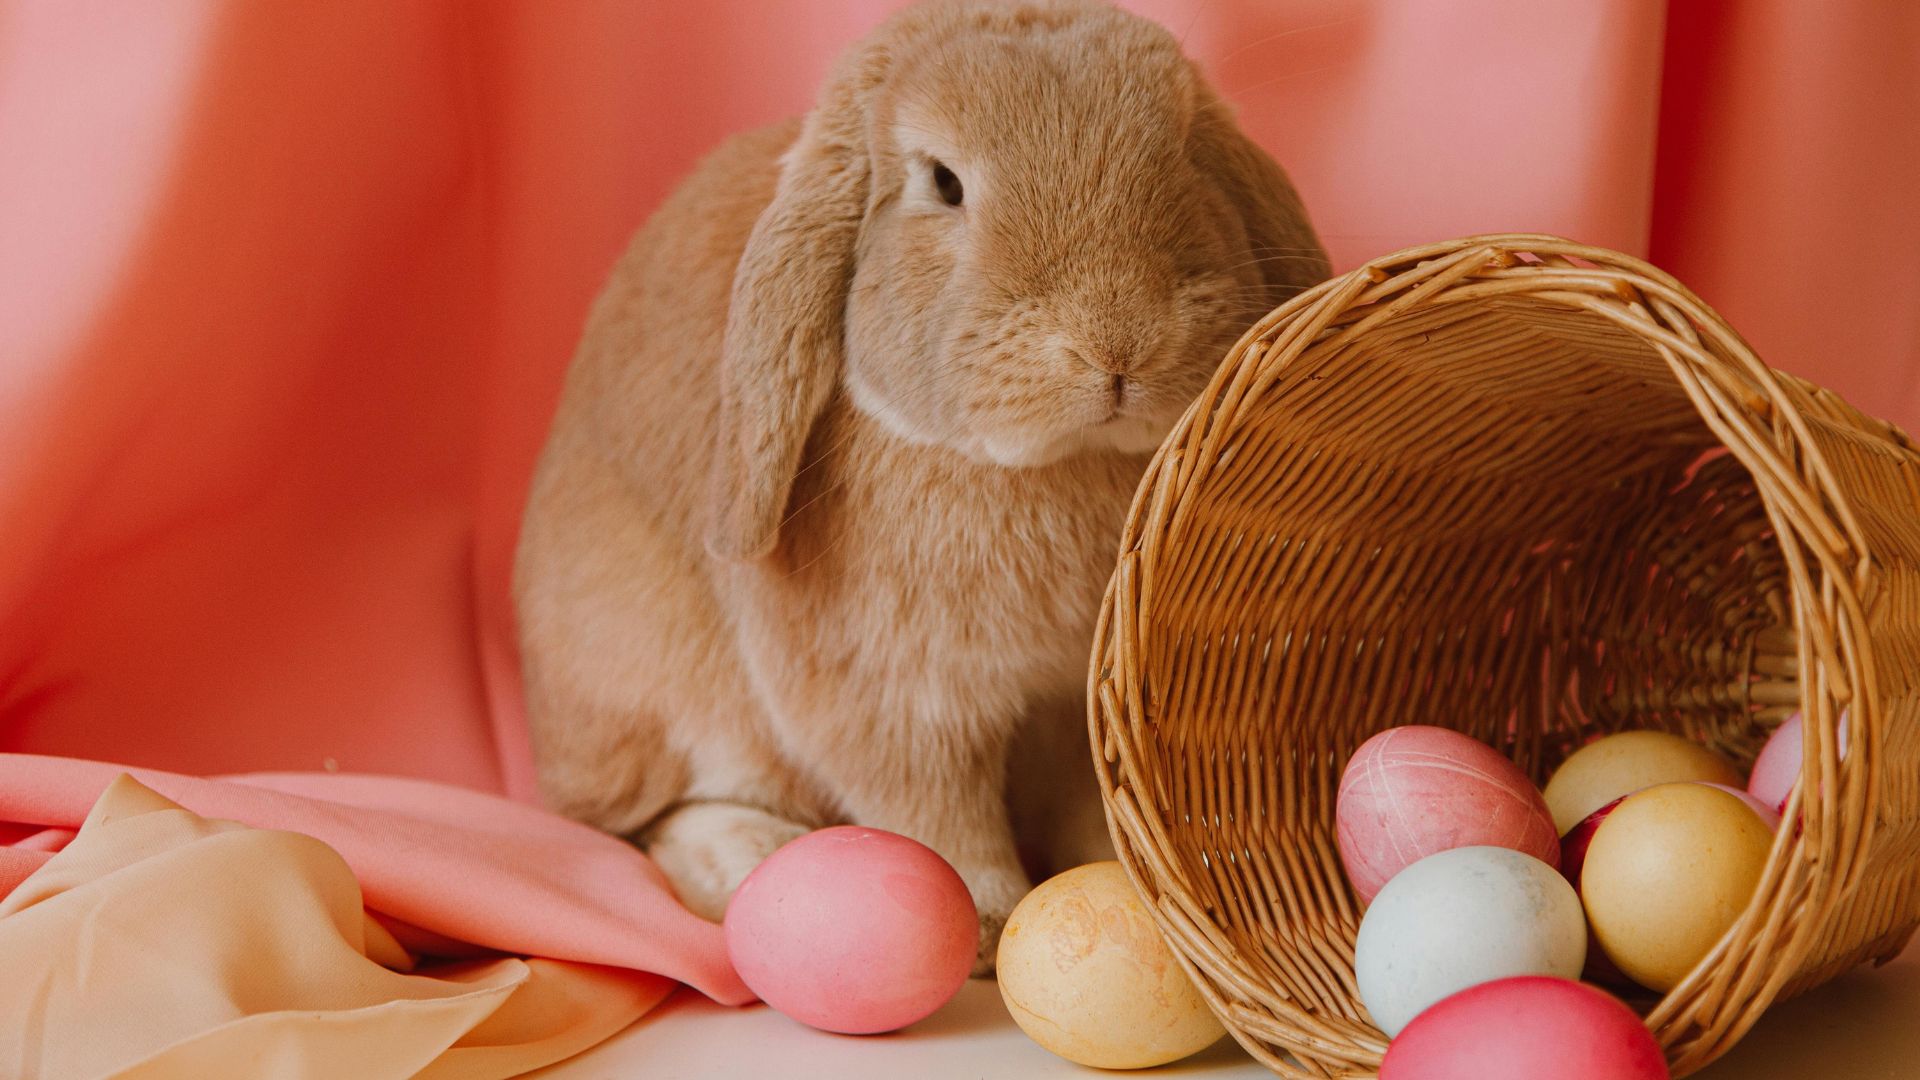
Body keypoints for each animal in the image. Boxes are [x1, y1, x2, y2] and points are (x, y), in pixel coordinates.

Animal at [513, 0, 1327, 973]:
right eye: (943, 182)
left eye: (1182, 148)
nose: (1117, 342)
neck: (1047, 462)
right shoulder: (897, 699)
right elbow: (935, 813)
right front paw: (984, 923)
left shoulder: (1076, 706)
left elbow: (1086, 804)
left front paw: (1127, 883)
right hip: (658, 692)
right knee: (655, 821)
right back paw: (750, 859)